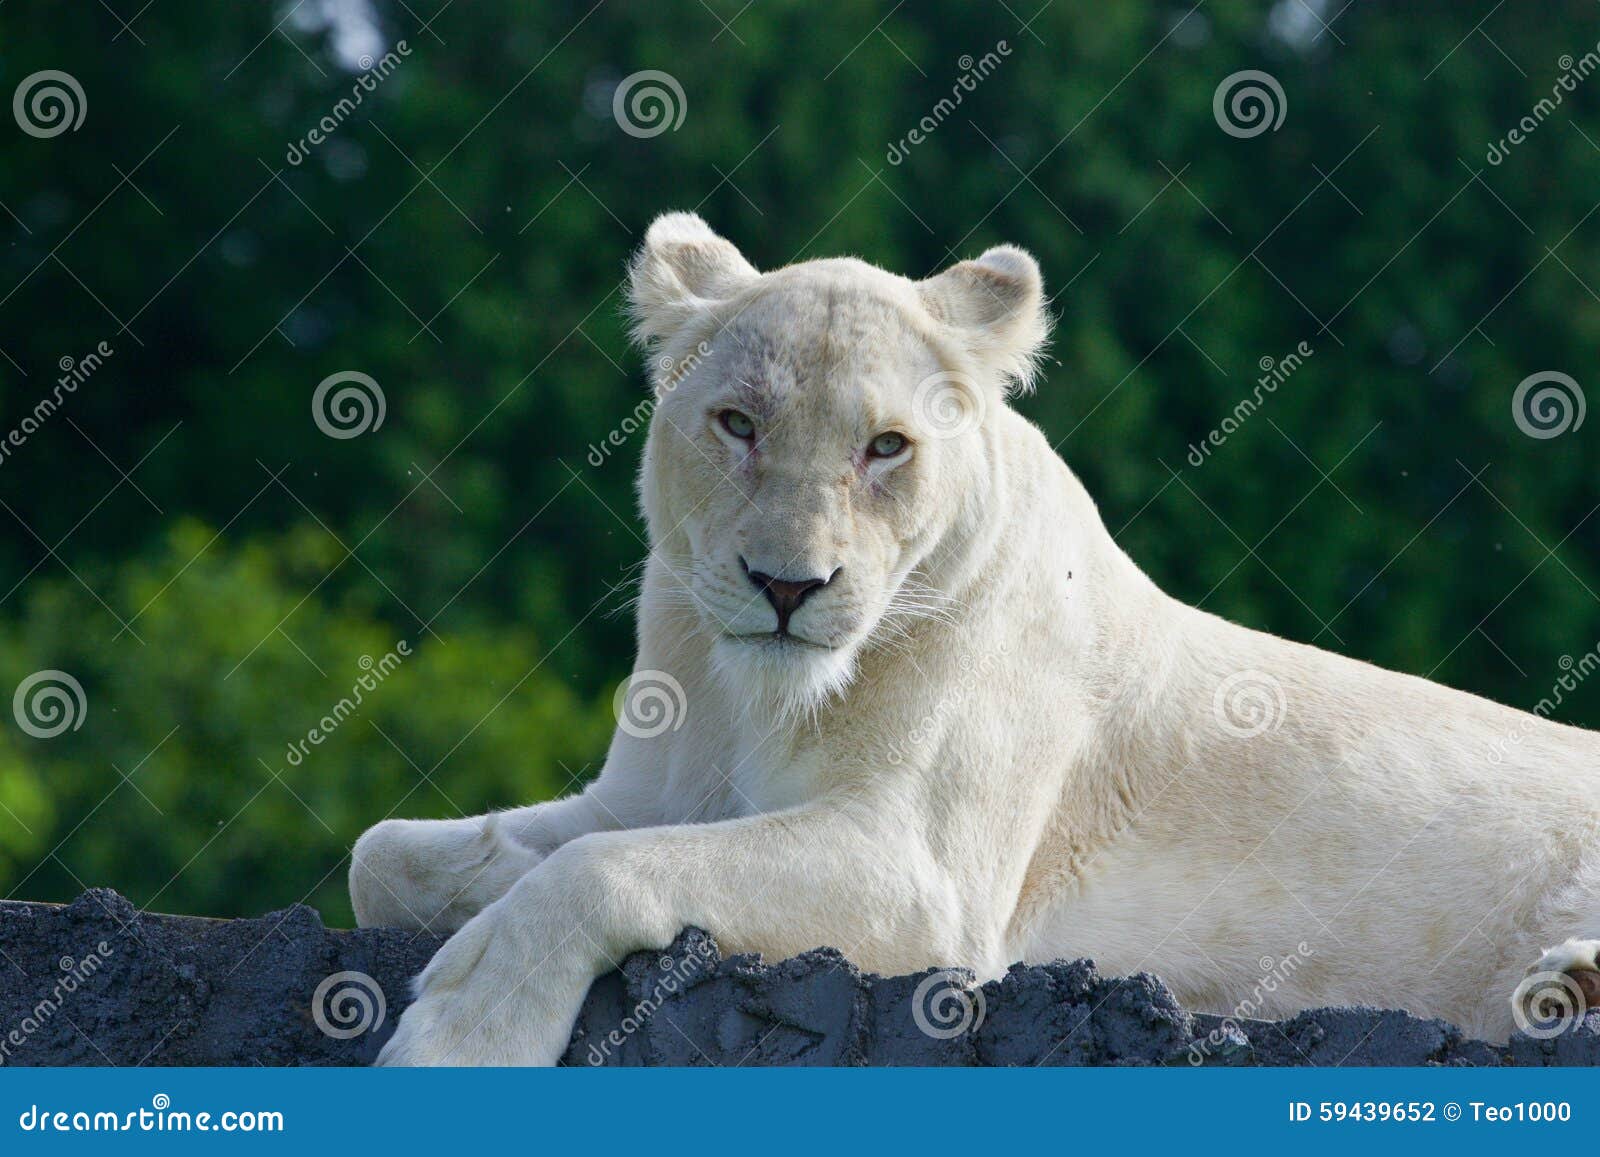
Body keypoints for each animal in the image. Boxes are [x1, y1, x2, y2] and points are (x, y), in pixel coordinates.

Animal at [355, 212, 1600, 1065]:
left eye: (886, 446)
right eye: (738, 423)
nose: (786, 585)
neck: (758, 696)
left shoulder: (923, 874)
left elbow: (602, 871)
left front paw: (461, 1032)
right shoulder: (645, 792)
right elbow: (389, 852)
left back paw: (1563, 984)